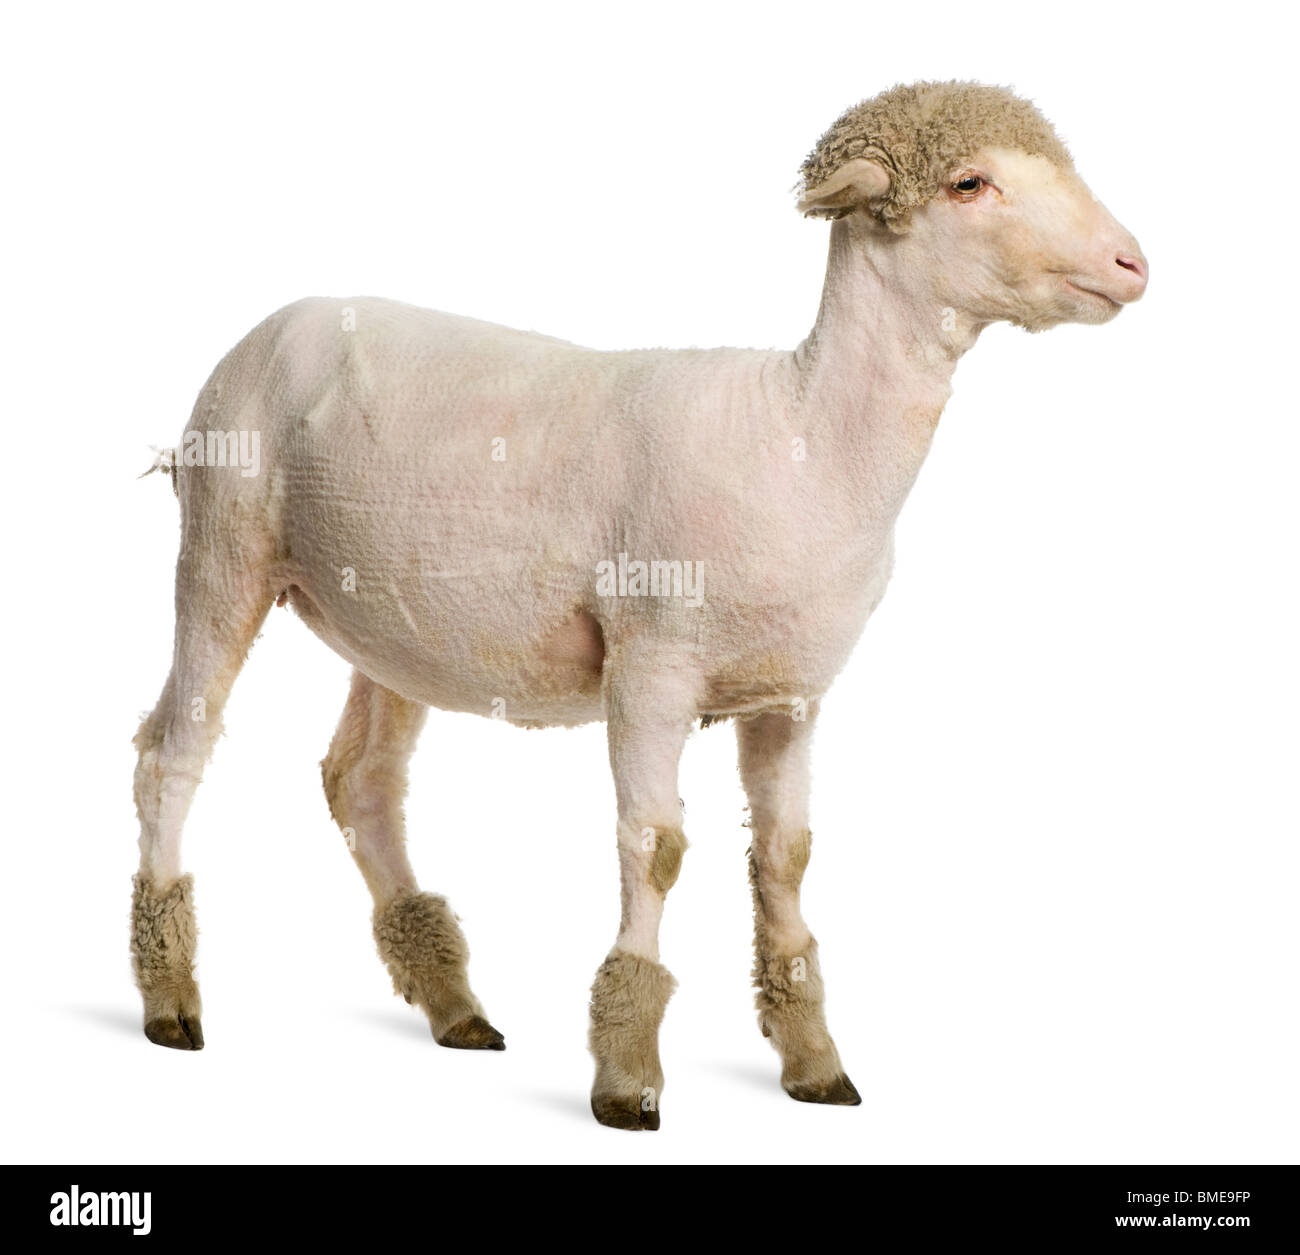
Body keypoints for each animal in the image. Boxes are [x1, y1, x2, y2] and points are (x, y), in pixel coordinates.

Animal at [131, 80, 1147, 1130]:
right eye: (969, 183)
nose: (1133, 264)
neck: (803, 433)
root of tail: (277, 319)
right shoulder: (650, 666)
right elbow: (657, 848)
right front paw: (627, 1071)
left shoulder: (790, 691)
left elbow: (786, 855)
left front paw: (814, 1060)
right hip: (222, 550)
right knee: (174, 753)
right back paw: (171, 996)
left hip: (391, 622)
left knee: (362, 781)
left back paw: (455, 1004)